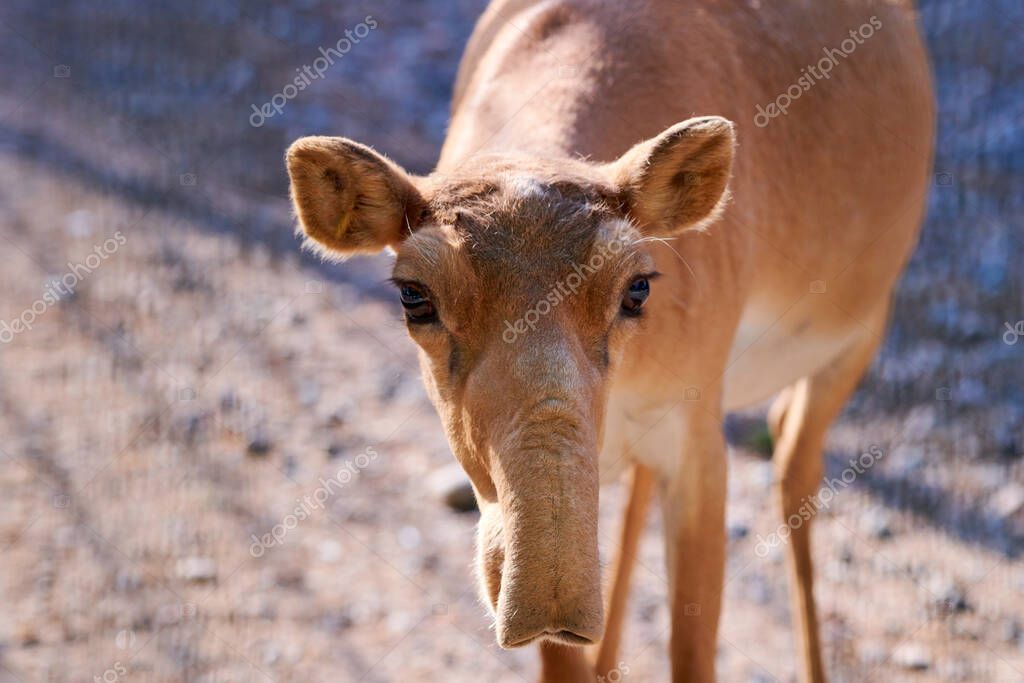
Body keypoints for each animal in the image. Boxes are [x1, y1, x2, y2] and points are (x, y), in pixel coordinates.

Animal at [286, 0, 934, 680]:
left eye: (637, 288)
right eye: (414, 295)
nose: (549, 593)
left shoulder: (698, 438)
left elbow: (692, 648)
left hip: (860, 334)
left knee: (793, 459)